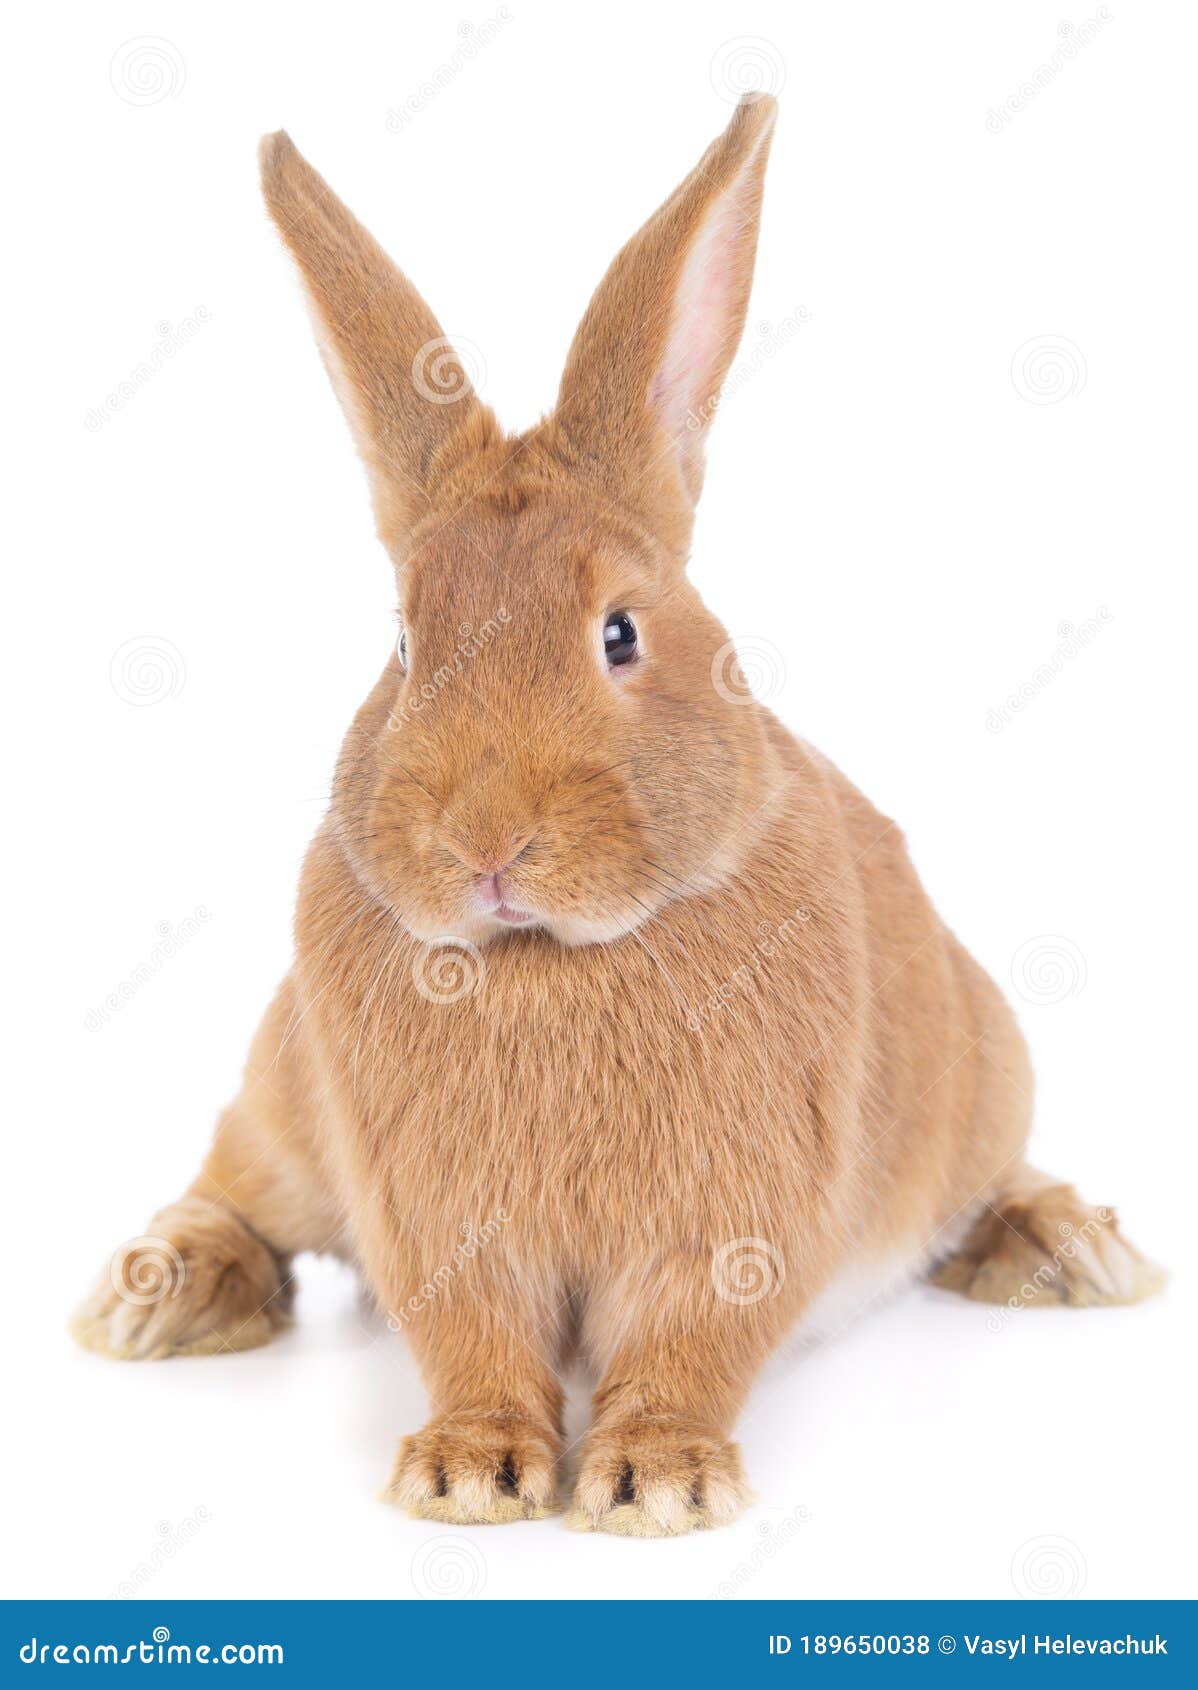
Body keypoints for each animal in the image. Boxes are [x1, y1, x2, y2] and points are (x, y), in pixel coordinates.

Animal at [72, 95, 1162, 1537]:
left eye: (619, 633)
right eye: (403, 644)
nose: (485, 845)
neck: (550, 959)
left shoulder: (736, 1220)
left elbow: (686, 1343)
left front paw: (656, 1482)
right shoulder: (435, 1222)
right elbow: (471, 1336)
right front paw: (466, 1475)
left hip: (985, 1076)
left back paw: (1072, 1250)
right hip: (281, 1101)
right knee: (237, 1191)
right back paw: (152, 1294)